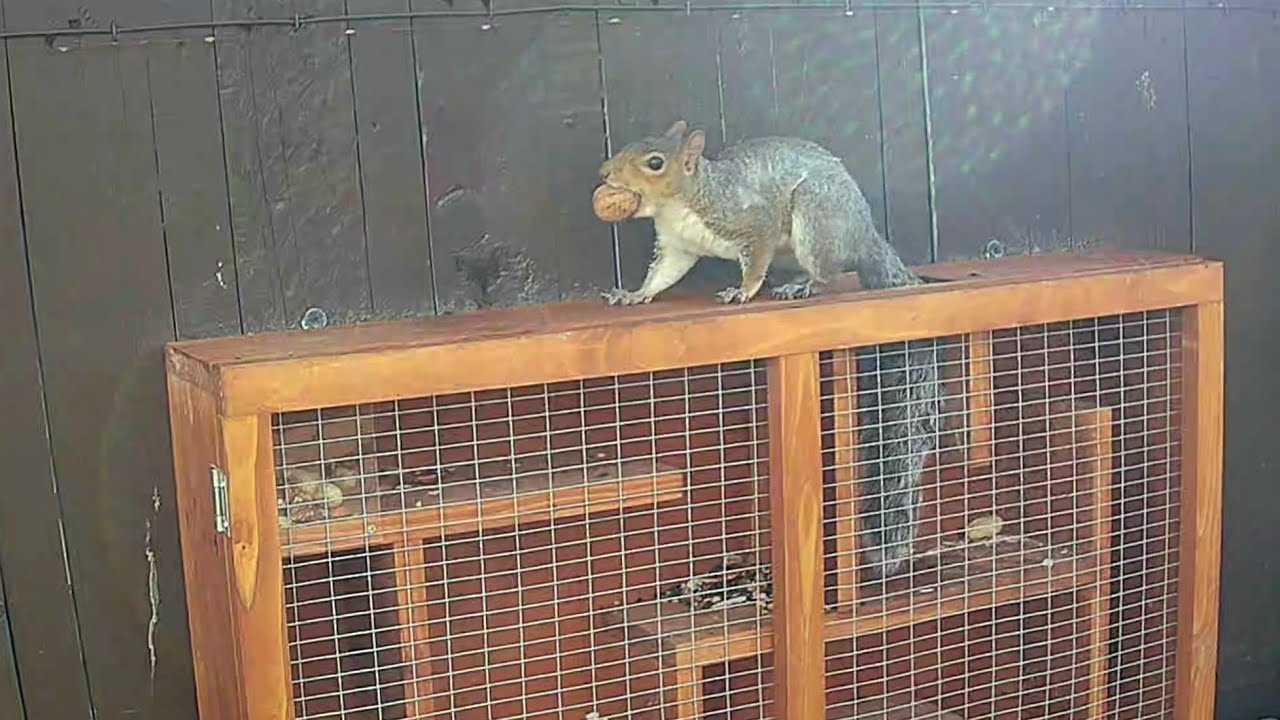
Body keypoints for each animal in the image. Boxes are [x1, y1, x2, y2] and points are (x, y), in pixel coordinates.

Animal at [595, 120, 939, 580]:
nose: (604, 172)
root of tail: (866, 237)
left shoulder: (750, 221)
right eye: (629, 145)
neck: (685, 199)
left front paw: (743, 291)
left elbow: (756, 258)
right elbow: (662, 276)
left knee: (830, 273)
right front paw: (633, 295)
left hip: (815, 219)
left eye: (654, 162)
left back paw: (802, 286)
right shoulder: (677, 246)